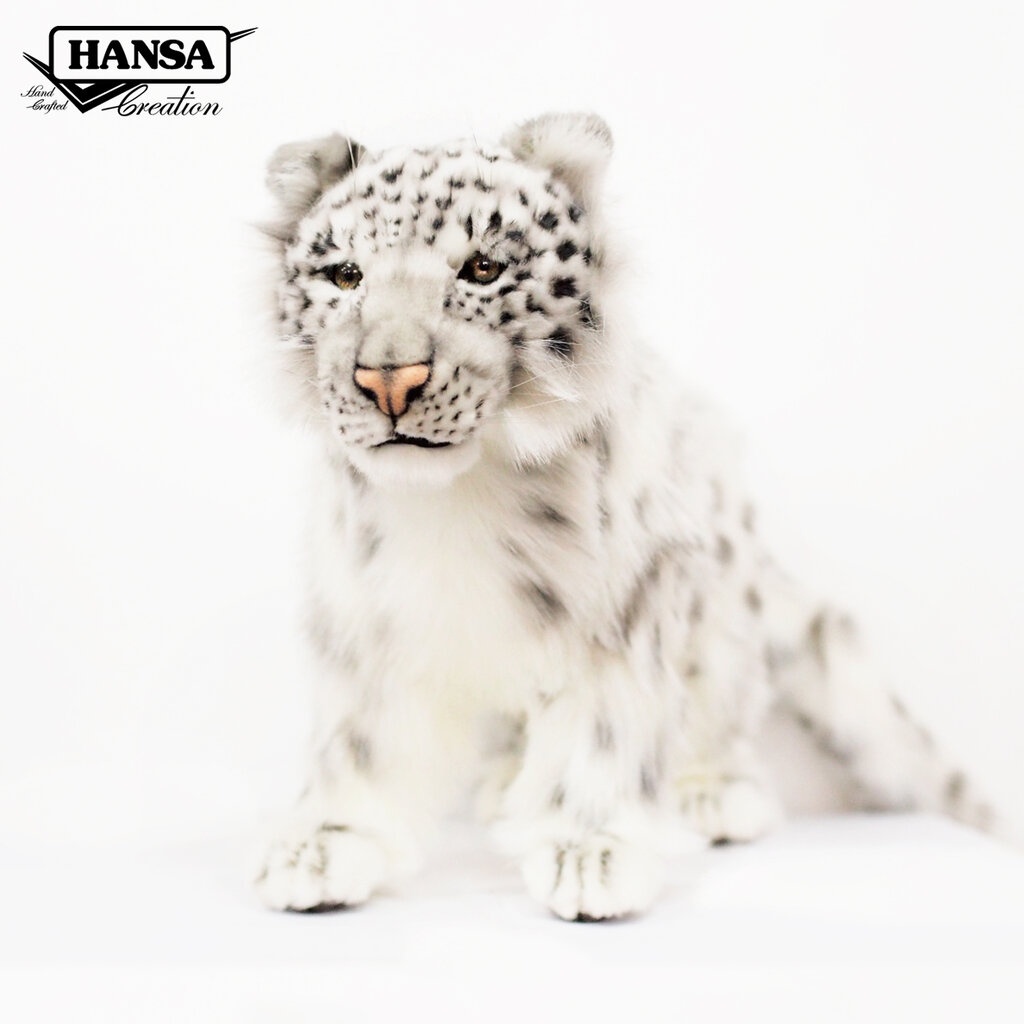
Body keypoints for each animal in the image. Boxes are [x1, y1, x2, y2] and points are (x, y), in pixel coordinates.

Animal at [252, 112, 995, 921]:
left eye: (481, 268)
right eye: (344, 275)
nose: (389, 378)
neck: (455, 502)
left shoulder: (617, 614)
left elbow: (604, 735)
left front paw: (590, 855)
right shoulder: (365, 620)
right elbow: (356, 741)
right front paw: (322, 845)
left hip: (720, 621)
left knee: (721, 706)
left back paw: (712, 793)